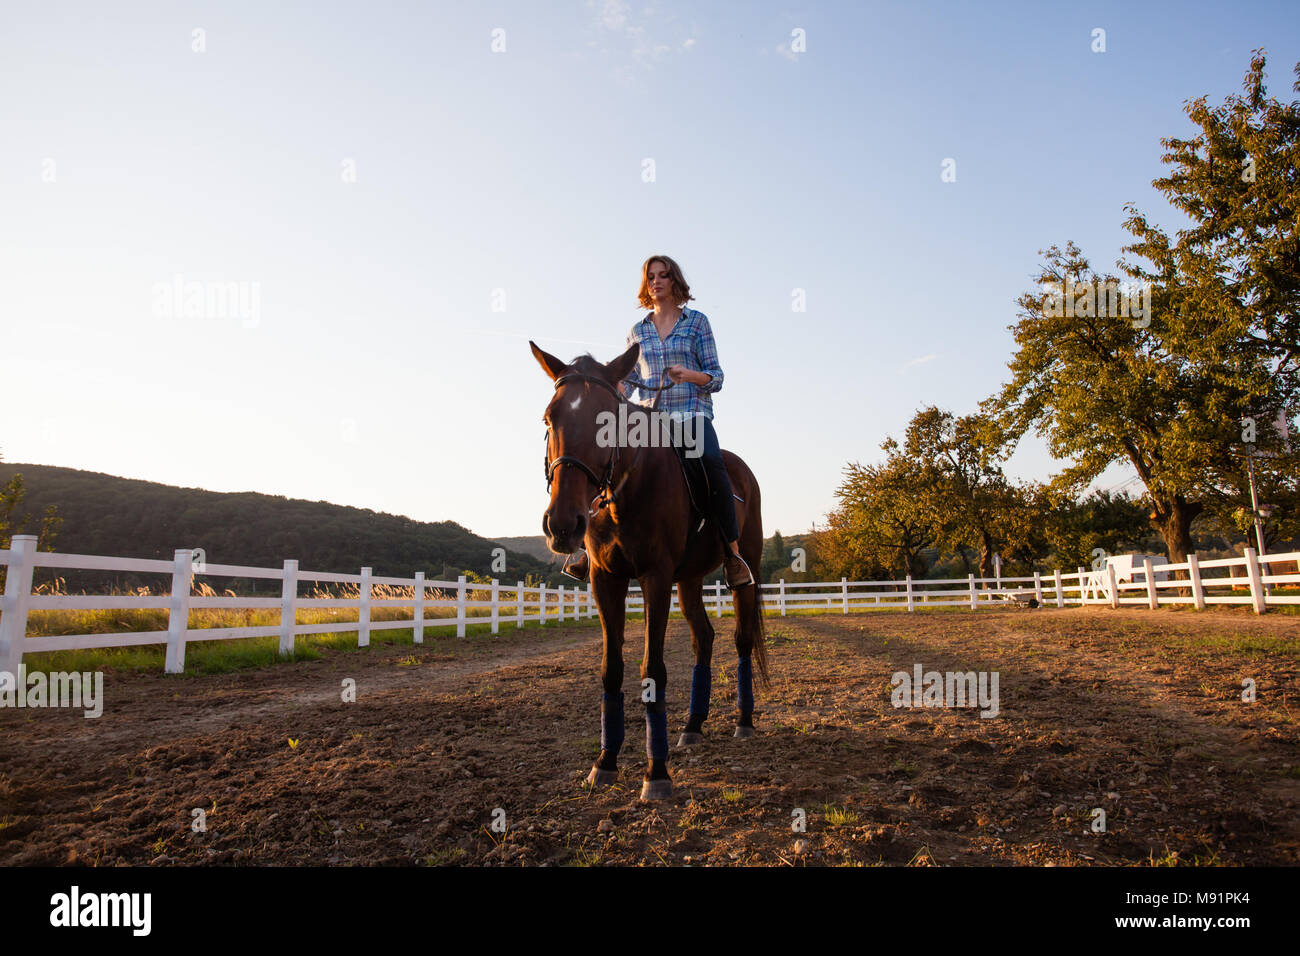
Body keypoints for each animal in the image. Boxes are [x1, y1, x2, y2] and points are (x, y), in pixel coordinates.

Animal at [530, 339, 770, 800]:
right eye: (550, 418)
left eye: (607, 423)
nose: (563, 525)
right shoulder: (606, 580)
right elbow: (612, 669)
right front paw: (605, 762)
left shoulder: (655, 578)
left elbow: (652, 671)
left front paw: (656, 773)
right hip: (689, 580)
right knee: (703, 639)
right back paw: (693, 725)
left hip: (743, 573)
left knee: (742, 640)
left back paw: (744, 721)